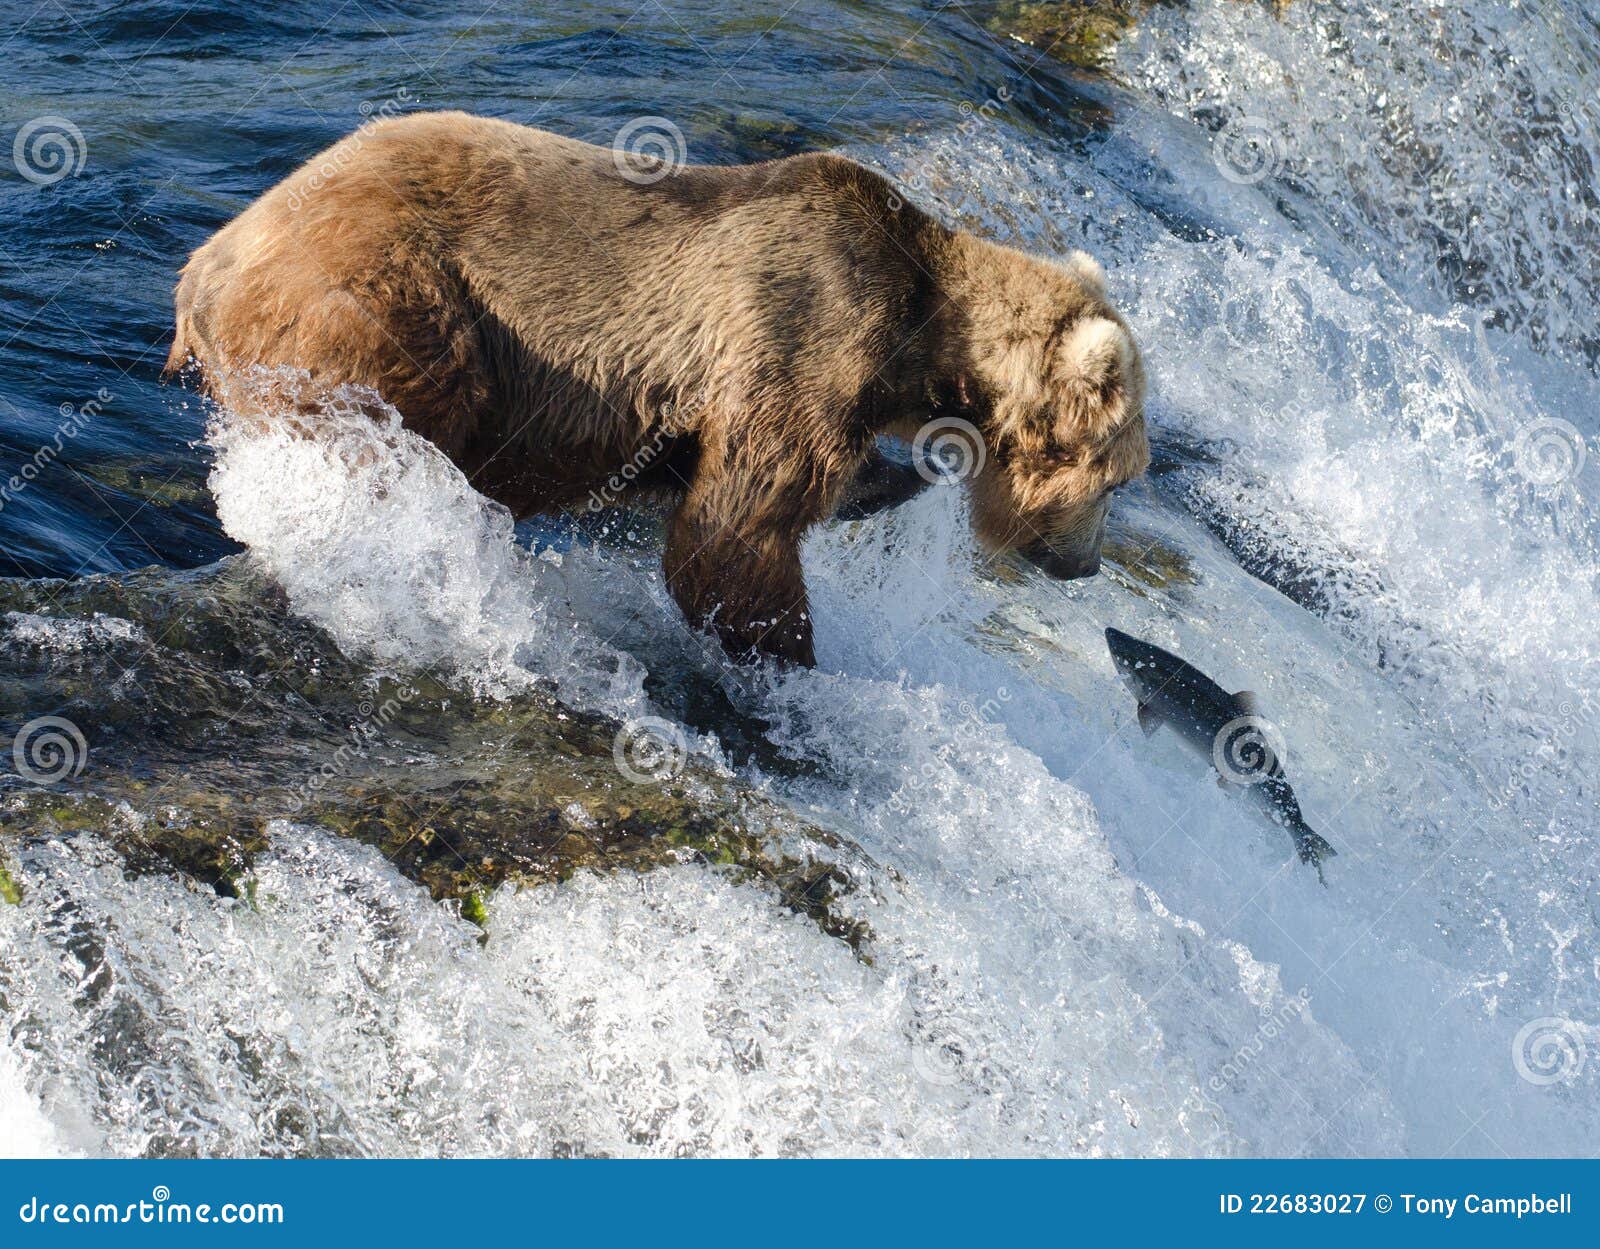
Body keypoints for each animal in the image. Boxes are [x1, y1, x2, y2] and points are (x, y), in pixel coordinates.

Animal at [166, 111, 1148, 667]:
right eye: (1121, 475)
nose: (1083, 563)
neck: (923, 338)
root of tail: (203, 263)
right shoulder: (800, 325)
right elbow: (737, 528)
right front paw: (786, 649)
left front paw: (892, 482)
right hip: (385, 291)